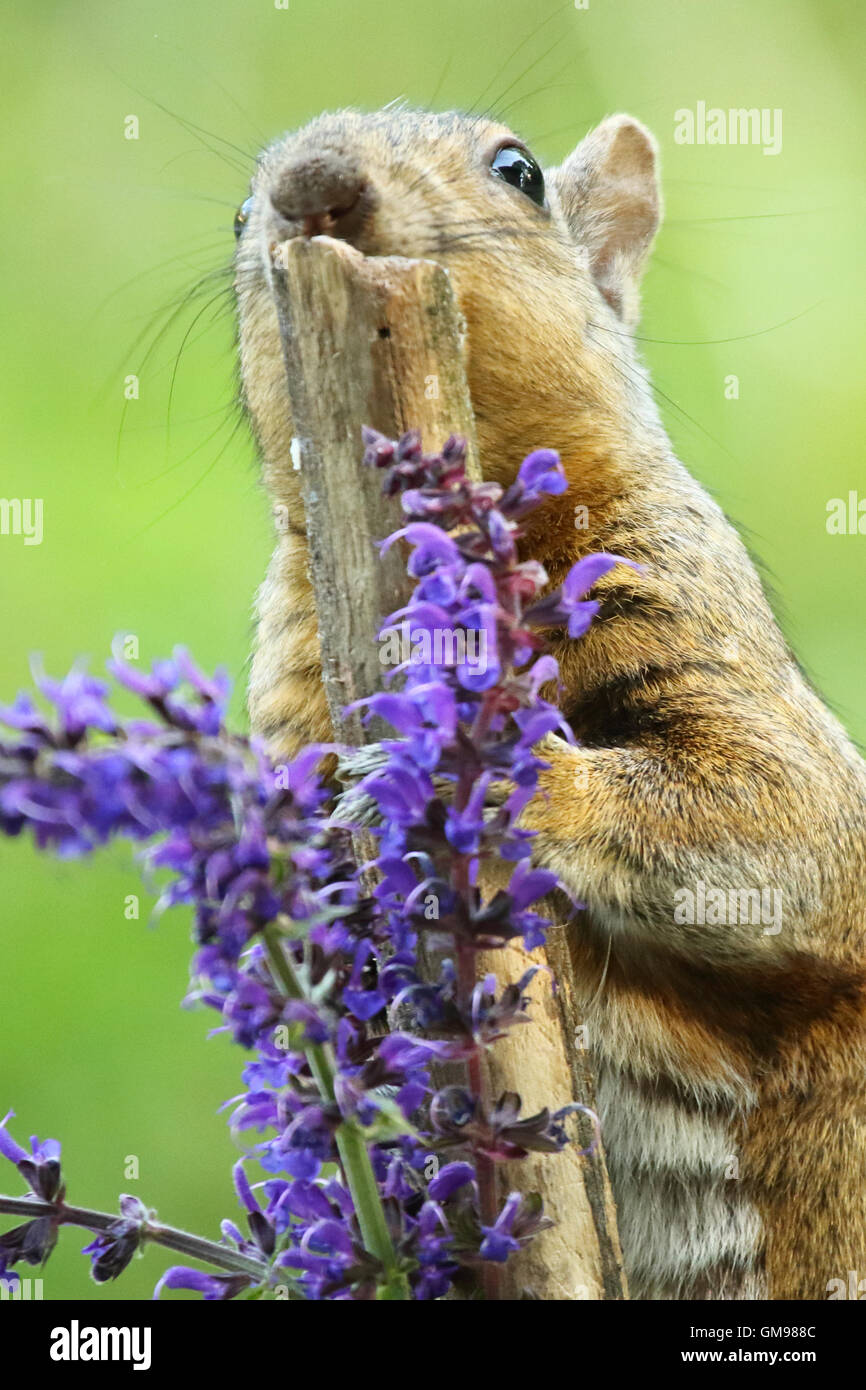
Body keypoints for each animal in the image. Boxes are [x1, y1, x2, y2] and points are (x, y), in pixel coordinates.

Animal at [233, 107, 866, 1301]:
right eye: (239, 214)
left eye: (518, 170)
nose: (312, 192)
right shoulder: (290, 680)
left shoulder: (703, 628)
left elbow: (780, 820)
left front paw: (504, 786)